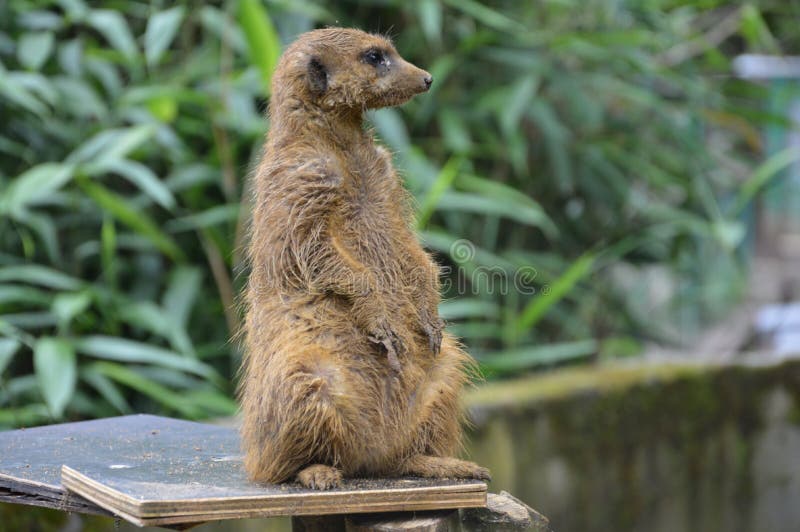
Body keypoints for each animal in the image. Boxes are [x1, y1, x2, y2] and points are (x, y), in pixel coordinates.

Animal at [239, 27, 490, 490]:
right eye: (374, 57)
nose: (427, 78)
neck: (346, 149)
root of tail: (367, 457)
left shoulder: (387, 181)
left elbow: (411, 248)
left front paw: (429, 312)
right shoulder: (299, 183)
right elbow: (315, 253)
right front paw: (377, 313)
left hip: (442, 373)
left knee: (434, 395)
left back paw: (436, 461)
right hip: (302, 378)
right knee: (279, 460)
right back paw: (314, 469)